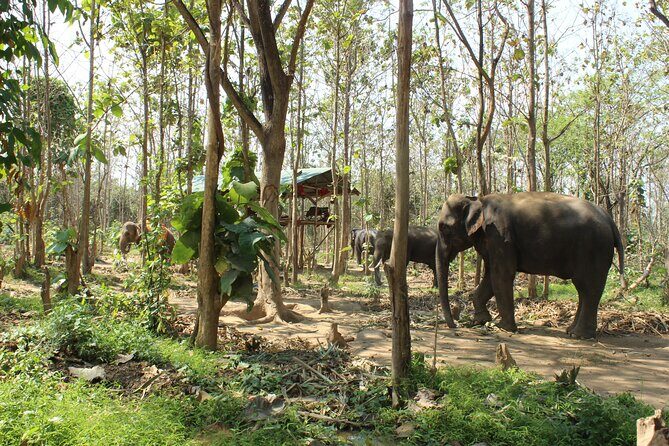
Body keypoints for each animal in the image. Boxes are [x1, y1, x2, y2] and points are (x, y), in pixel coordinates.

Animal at [435, 192, 625, 339]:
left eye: (444, 228)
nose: (455, 326)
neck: (478, 200)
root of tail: (609, 219)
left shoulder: (500, 236)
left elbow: (501, 275)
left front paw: (503, 328)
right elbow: (490, 276)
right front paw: (480, 321)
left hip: (593, 248)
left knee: (588, 288)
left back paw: (579, 335)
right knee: (583, 290)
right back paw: (570, 331)